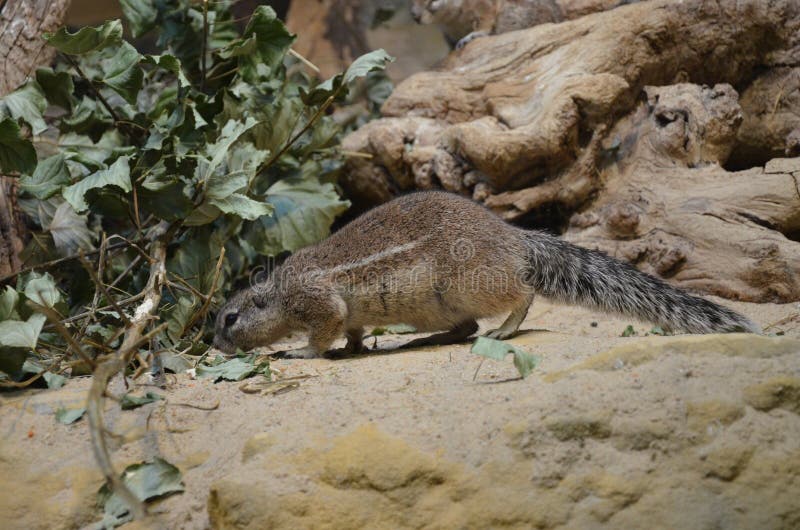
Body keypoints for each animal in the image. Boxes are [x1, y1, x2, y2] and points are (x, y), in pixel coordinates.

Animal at [213, 191, 759, 358]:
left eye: (229, 319)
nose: (215, 347)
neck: (280, 292)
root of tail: (515, 238)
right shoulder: (350, 313)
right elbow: (352, 332)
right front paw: (354, 348)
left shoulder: (320, 304)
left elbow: (323, 333)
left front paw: (298, 351)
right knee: (463, 327)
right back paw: (423, 339)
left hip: (474, 286)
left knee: (521, 297)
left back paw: (505, 330)